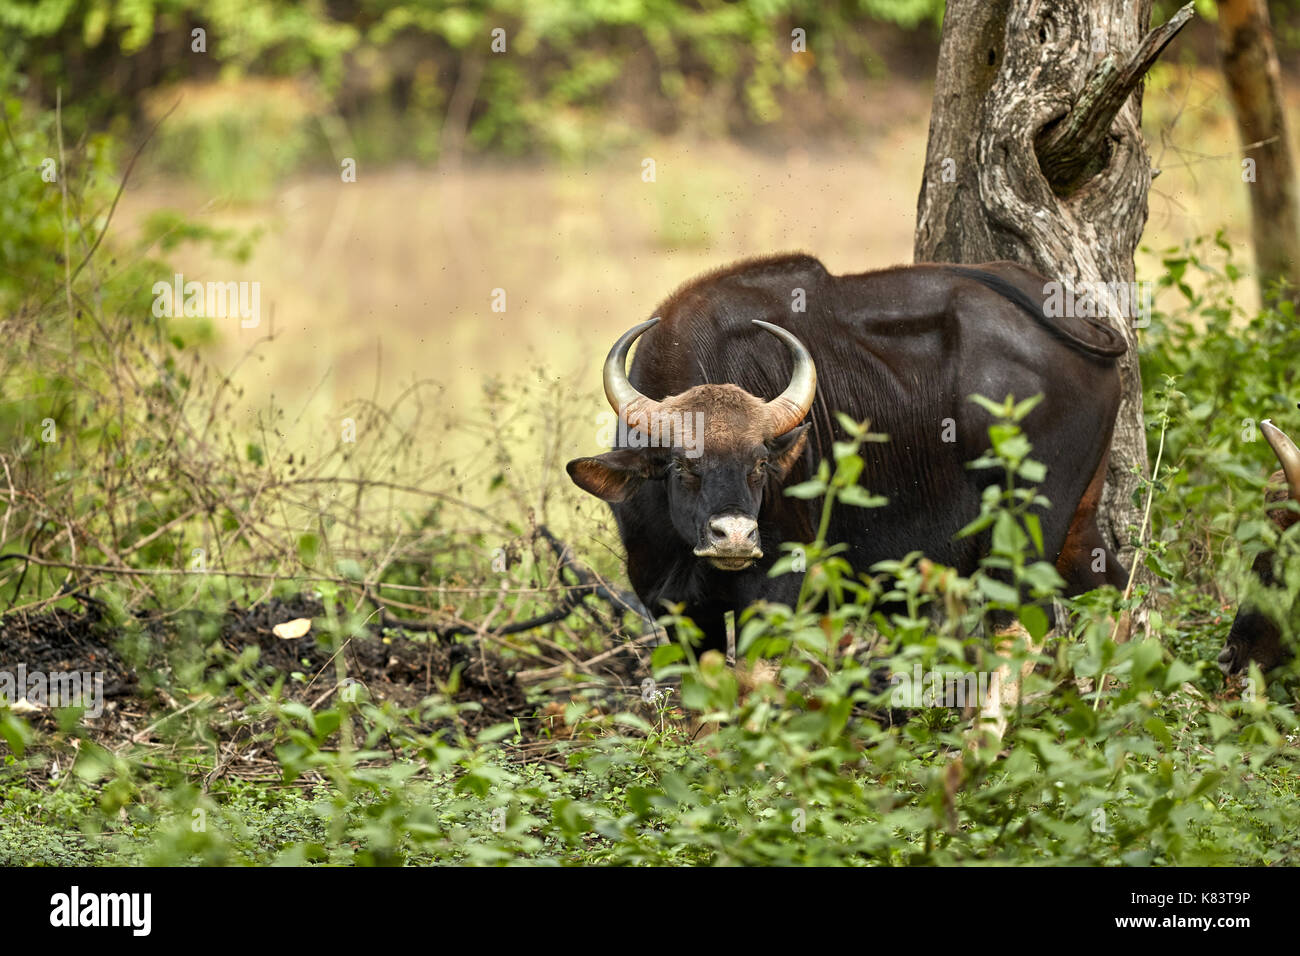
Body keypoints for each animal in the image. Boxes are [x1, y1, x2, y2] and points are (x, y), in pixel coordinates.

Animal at [567, 254, 1130, 655]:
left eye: (760, 464)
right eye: (684, 464)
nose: (736, 537)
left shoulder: (776, 591)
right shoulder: (676, 607)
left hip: (1023, 531)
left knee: (1018, 627)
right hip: (1078, 521)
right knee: (1112, 591)